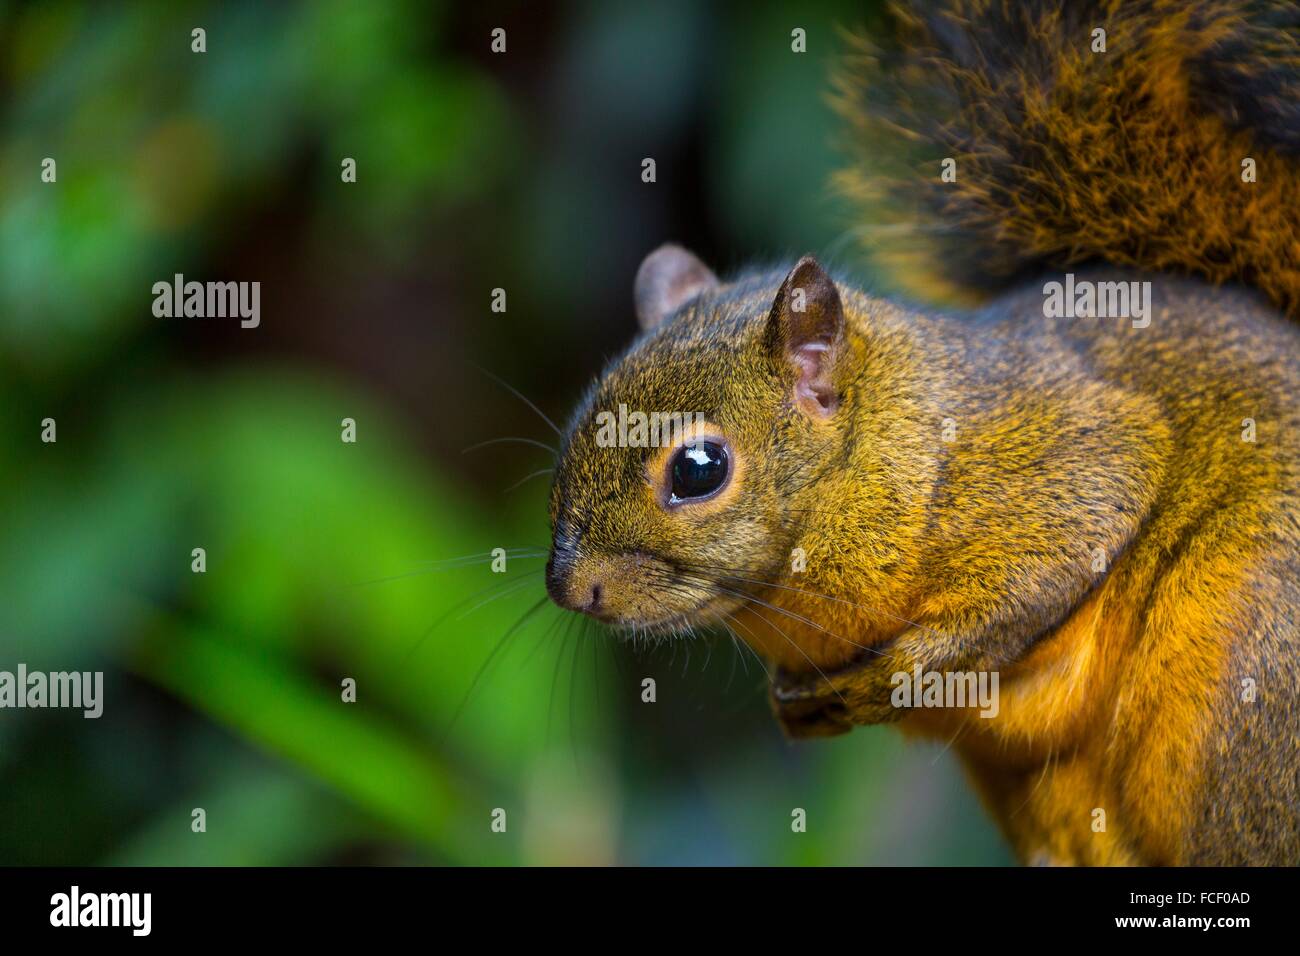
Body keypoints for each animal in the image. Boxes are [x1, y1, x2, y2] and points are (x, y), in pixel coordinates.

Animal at [542, 0, 1300, 865]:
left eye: (698, 469)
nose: (569, 586)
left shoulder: (1062, 460)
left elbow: (1060, 549)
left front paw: (894, 675)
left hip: (1250, 684)